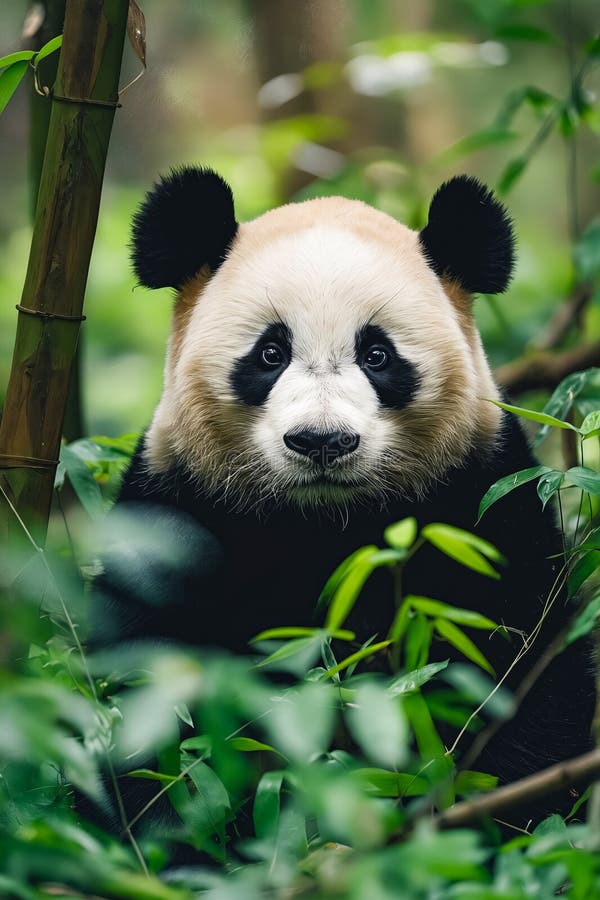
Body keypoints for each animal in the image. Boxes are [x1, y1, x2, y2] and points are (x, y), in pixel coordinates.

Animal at [95, 167, 595, 827]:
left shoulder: (483, 503)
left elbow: (525, 664)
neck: (325, 526)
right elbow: (144, 691)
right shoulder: (178, 515)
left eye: (377, 355)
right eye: (270, 353)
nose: (322, 441)